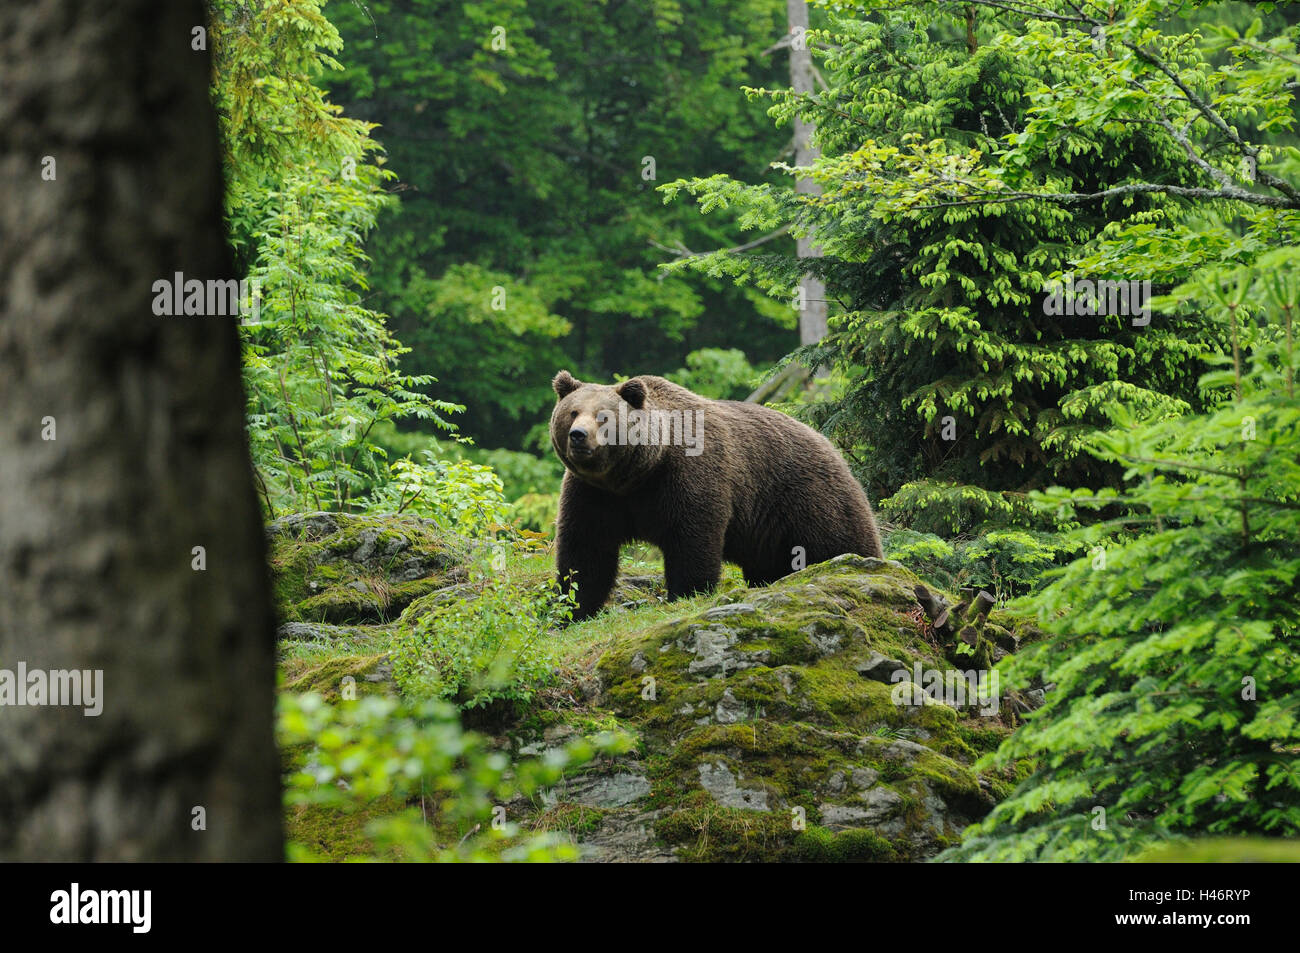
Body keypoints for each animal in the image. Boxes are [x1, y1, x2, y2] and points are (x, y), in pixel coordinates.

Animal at [549, 370, 883, 621]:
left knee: (843, 542)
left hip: (811, 501)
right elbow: (586, 551)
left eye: (603, 416)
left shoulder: (689, 477)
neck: (636, 476)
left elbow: (692, 540)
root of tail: (833, 448)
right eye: (573, 412)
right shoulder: (595, 495)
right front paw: (573, 607)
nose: (578, 435)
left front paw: (686, 593)